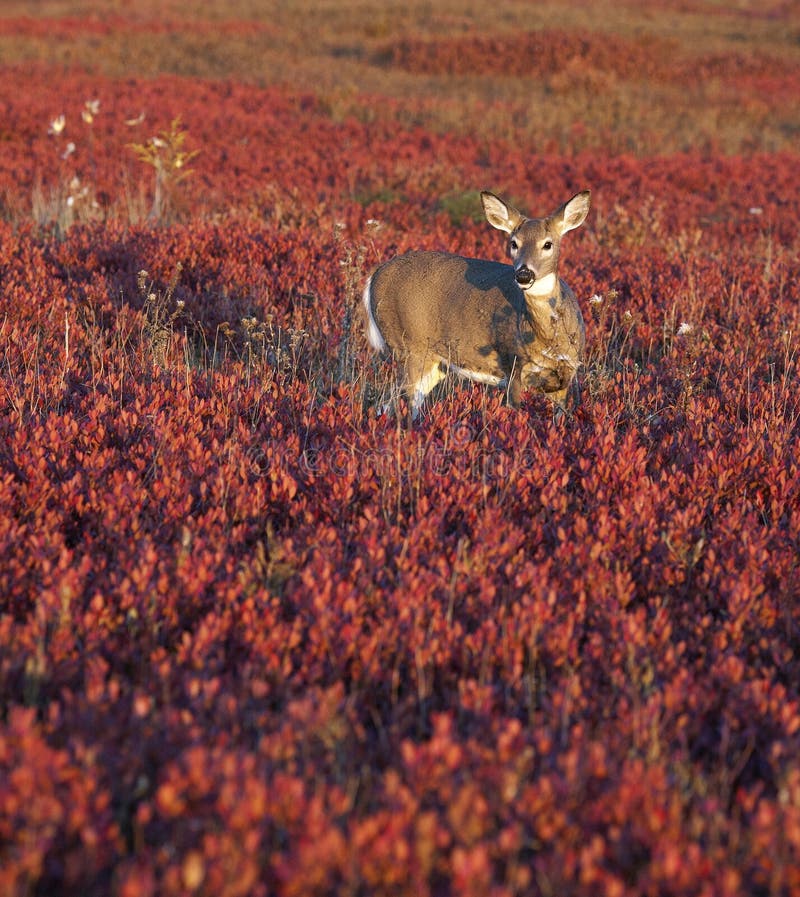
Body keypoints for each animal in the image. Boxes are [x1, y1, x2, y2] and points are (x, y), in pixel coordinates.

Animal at [363, 190, 591, 417]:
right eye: (513, 243)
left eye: (548, 244)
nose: (524, 274)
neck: (549, 340)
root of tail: (375, 276)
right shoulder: (513, 364)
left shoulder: (566, 377)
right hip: (408, 346)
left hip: (434, 363)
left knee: (388, 401)